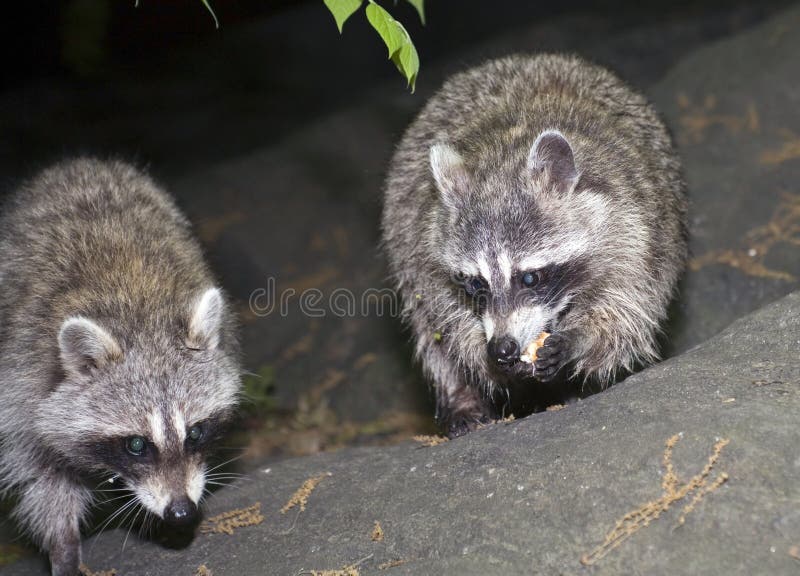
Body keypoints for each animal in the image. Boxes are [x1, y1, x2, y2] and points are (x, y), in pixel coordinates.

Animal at [0, 159, 241, 575]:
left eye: (195, 433)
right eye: (136, 445)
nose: (180, 512)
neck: (139, 319)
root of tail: (79, 164)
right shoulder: (22, 386)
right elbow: (44, 478)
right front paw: (63, 546)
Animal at [382, 54, 688, 437]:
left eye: (529, 278)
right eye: (475, 283)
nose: (502, 348)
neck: (505, 159)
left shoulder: (637, 228)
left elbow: (628, 315)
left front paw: (582, 339)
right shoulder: (424, 240)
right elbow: (446, 319)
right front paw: (479, 357)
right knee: (428, 331)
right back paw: (458, 395)